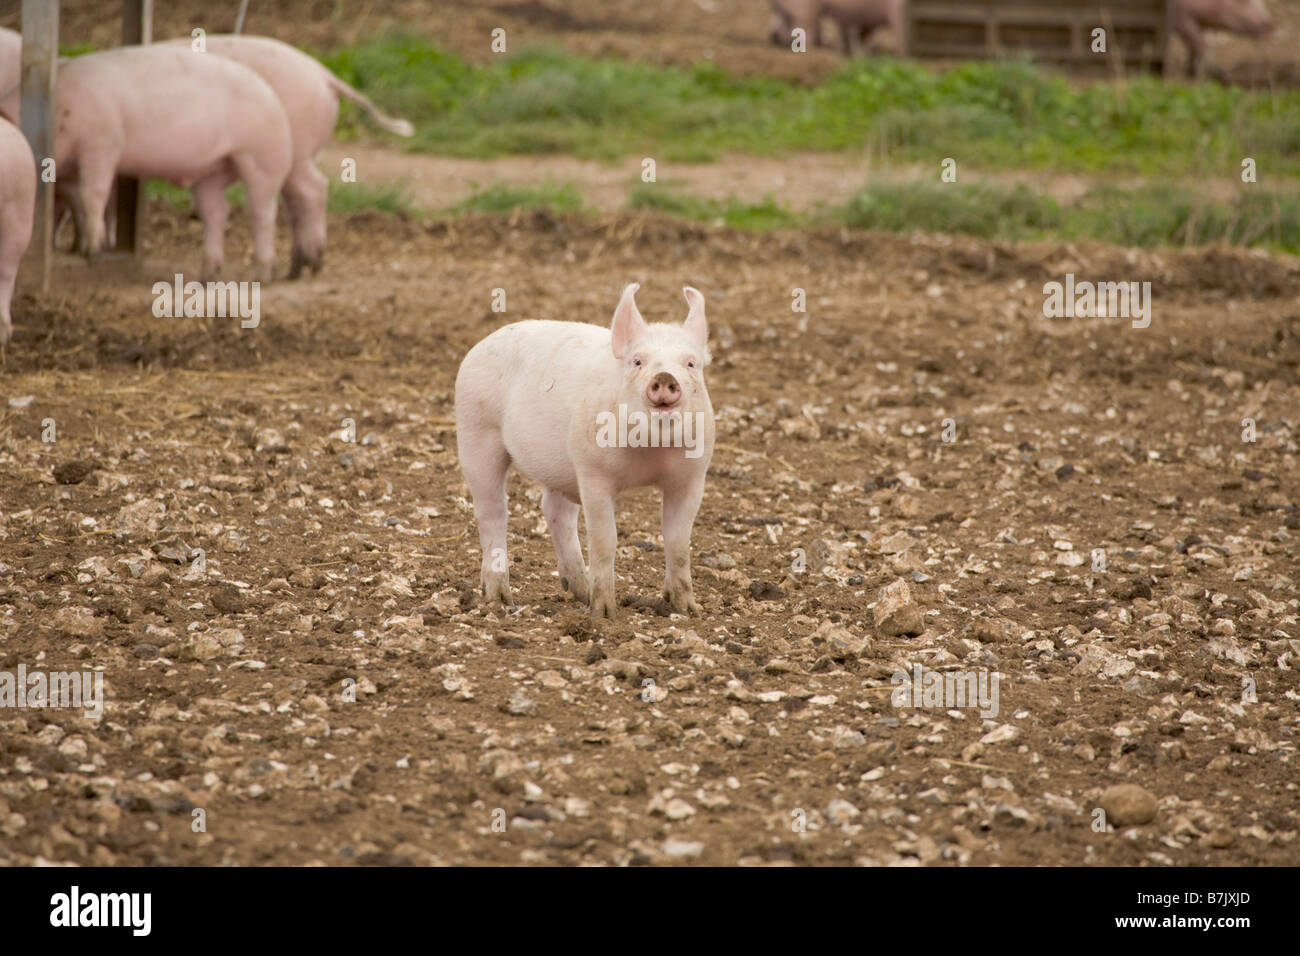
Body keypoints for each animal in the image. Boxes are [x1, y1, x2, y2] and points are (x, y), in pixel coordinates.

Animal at [53, 46, 293, 279]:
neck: (64, 113)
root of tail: (274, 98)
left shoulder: (102, 145)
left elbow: (92, 194)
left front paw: (91, 251)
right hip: (214, 172)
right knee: (216, 212)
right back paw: (207, 274)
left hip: (262, 159)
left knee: (262, 212)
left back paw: (261, 276)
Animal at [161, 35, 415, 278]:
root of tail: (324, 74)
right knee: (295, 198)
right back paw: (295, 269)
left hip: (296, 148)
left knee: (314, 187)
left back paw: (309, 265)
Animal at [455, 284, 716, 619]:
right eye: (637, 361)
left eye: (691, 363)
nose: (665, 377)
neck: (650, 451)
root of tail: (480, 344)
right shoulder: (594, 473)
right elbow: (605, 540)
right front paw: (604, 612)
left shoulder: (692, 477)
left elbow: (678, 541)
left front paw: (688, 609)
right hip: (475, 433)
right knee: (493, 512)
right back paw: (500, 598)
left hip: (561, 467)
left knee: (555, 511)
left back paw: (579, 592)